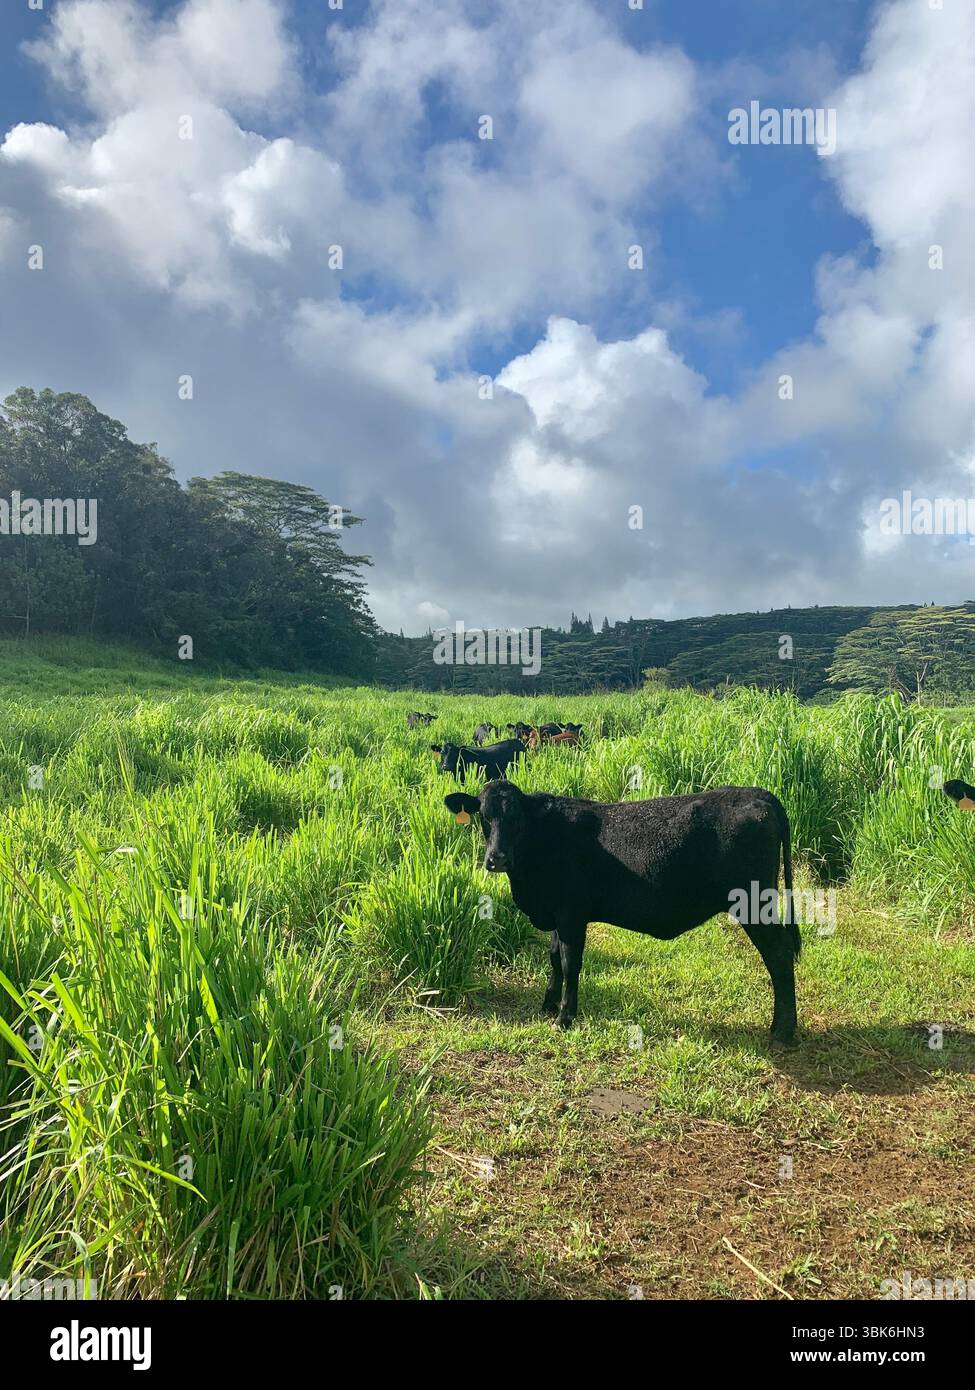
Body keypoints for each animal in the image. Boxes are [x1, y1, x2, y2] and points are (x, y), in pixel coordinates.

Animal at [442, 780, 799, 1042]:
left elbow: (571, 963)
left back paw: (783, 1031)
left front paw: (564, 1017)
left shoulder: (572, 914)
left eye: (517, 818)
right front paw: (547, 1004)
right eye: (484, 816)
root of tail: (756, 793)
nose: (497, 859)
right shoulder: (557, 913)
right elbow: (554, 956)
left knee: (780, 955)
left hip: (755, 904)